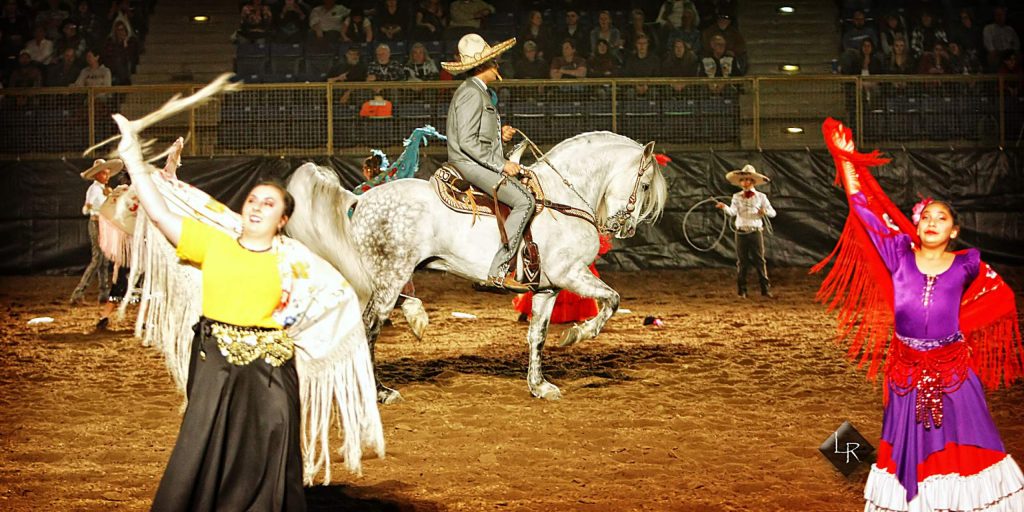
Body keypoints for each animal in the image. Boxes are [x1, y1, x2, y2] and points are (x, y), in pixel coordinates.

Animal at [286, 131, 669, 403]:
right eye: (644, 184)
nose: (625, 228)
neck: (561, 201)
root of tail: (361, 199)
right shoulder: (570, 274)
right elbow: (612, 301)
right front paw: (577, 334)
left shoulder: (547, 288)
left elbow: (538, 335)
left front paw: (539, 385)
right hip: (388, 276)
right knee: (369, 328)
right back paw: (381, 390)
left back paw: (413, 321)